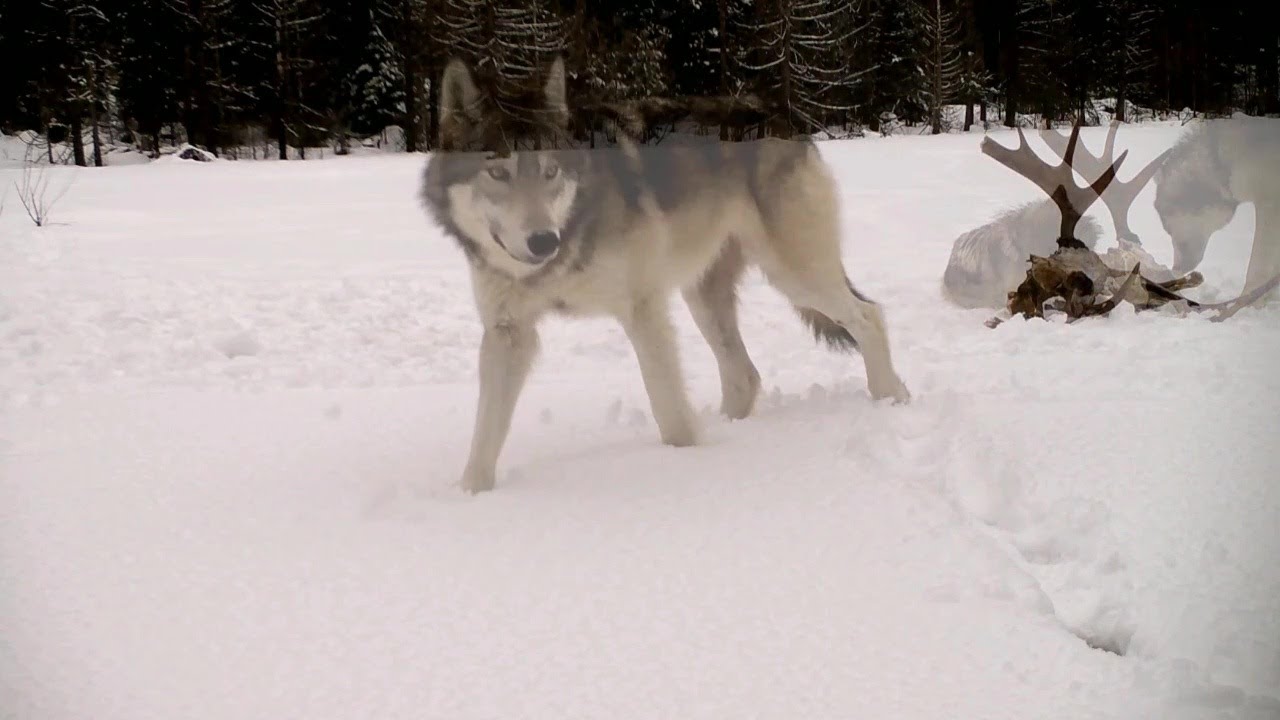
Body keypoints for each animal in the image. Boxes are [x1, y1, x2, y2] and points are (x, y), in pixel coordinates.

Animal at [419, 56, 912, 493]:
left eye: (550, 170)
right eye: (498, 171)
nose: (544, 241)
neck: (571, 234)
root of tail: (781, 116)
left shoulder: (643, 310)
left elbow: (669, 410)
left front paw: (684, 462)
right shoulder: (507, 333)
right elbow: (484, 436)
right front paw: (470, 496)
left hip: (795, 275)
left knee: (869, 316)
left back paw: (891, 398)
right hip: (705, 300)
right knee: (744, 374)